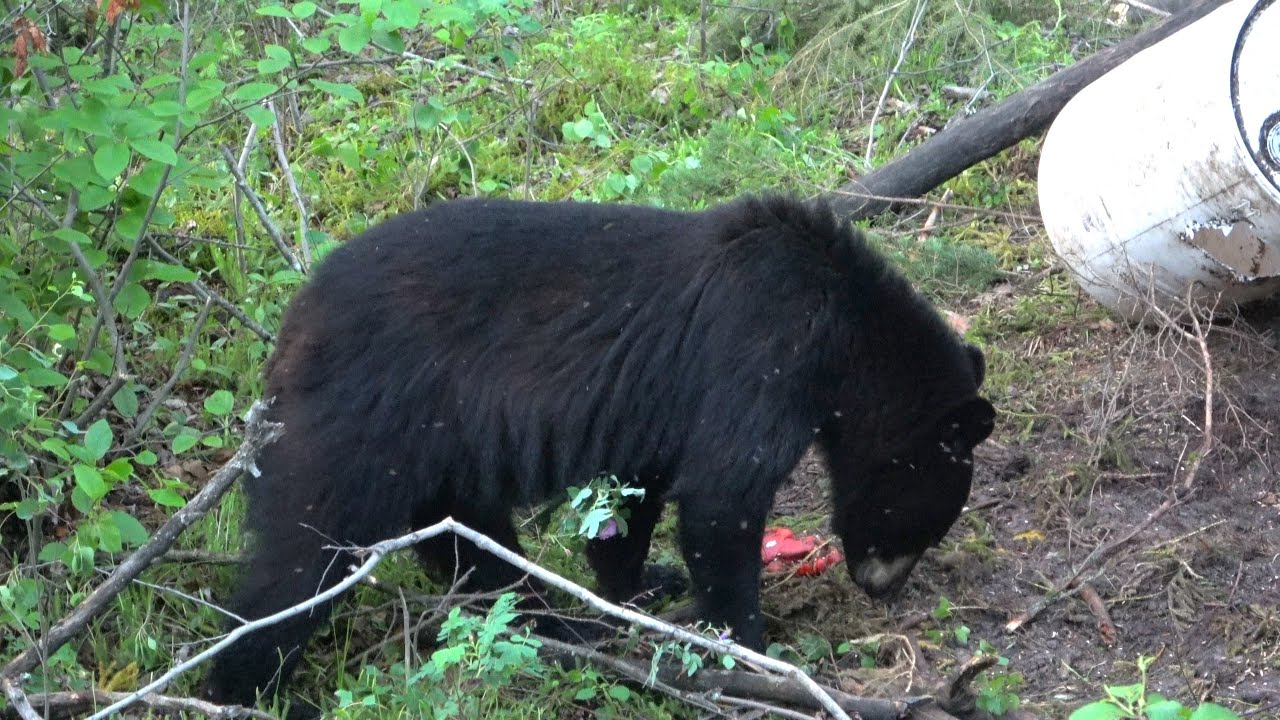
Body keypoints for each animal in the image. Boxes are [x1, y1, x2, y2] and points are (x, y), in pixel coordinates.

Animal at [201, 194, 995, 708]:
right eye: (928, 521)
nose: (881, 588)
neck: (846, 331)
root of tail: (294, 316)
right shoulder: (765, 351)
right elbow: (722, 497)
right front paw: (751, 650)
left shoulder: (653, 407)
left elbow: (633, 495)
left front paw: (641, 588)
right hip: (363, 418)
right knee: (302, 554)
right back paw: (251, 688)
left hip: (438, 448)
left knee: (476, 548)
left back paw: (560, 624)